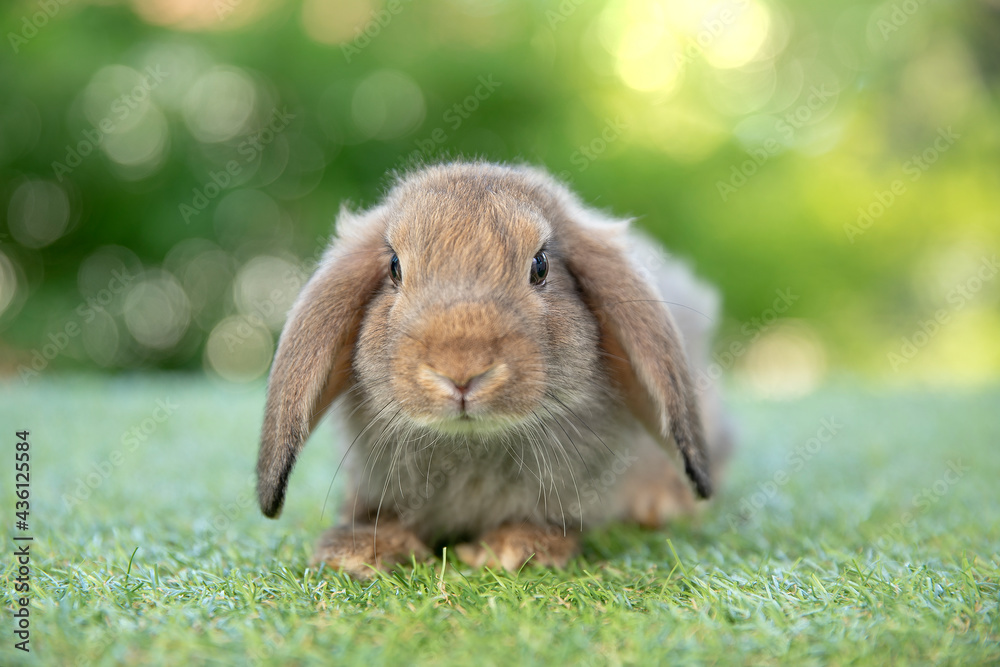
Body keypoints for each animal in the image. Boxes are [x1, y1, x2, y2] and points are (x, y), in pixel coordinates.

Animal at [256, 161, 732, 578]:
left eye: (540, 266)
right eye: (394, 267)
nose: (461, 371)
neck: (472, 443)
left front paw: (508, 550)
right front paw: (359, 553)